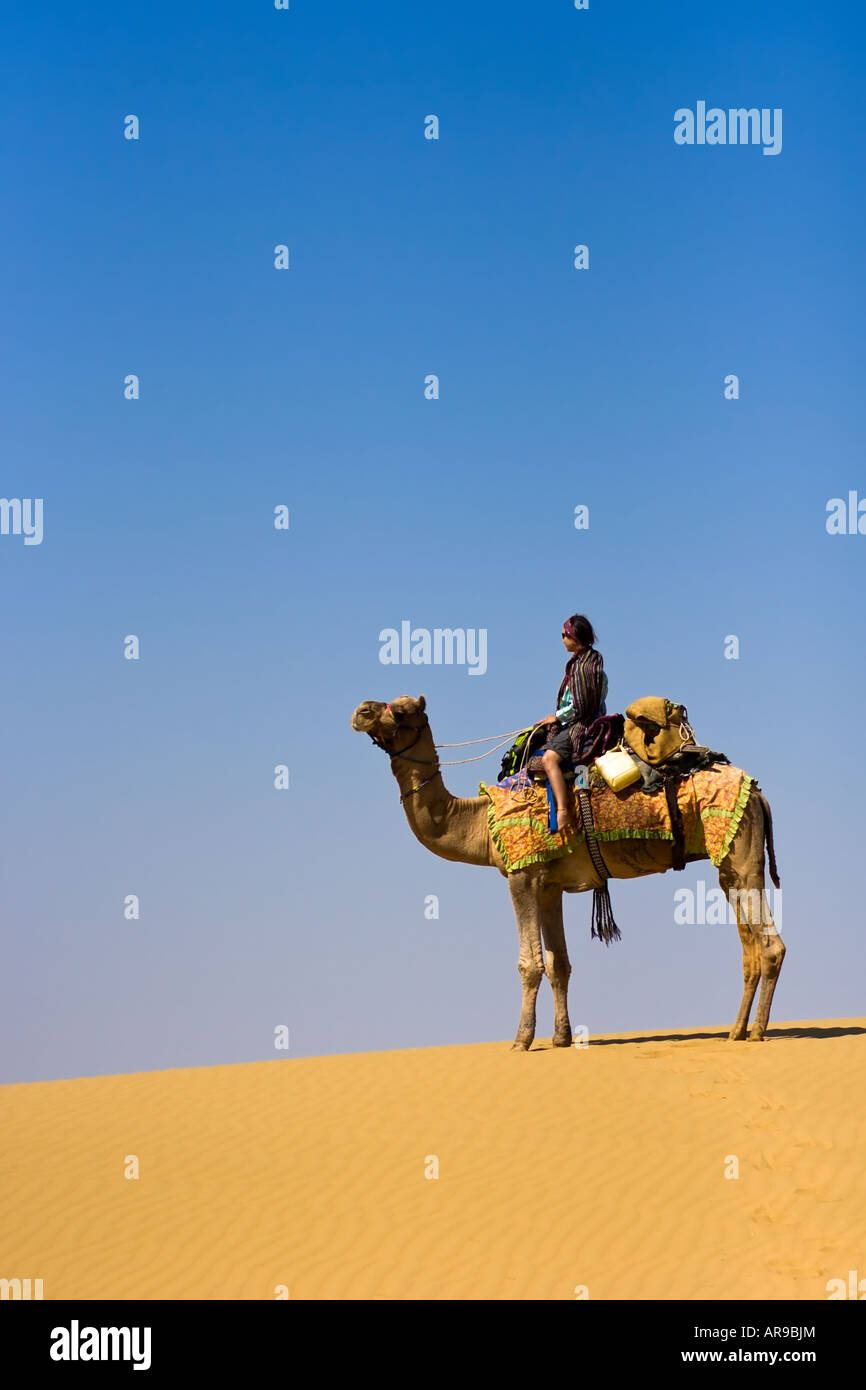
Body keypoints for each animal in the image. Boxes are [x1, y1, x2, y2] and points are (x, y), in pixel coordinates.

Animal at [351, 694, 785, 1050]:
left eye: (401, 711)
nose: (361, 711)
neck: (481, 823)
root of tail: (758, 791)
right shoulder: (548, 885)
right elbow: (559, 963)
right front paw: (561, 1038)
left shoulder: (522, 876)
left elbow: (530, 964)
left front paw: (521, 1040)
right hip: (728, 863)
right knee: (748, 945)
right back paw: (736, 1031)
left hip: (742, 853)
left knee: (770, 945)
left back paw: (756, 1032)